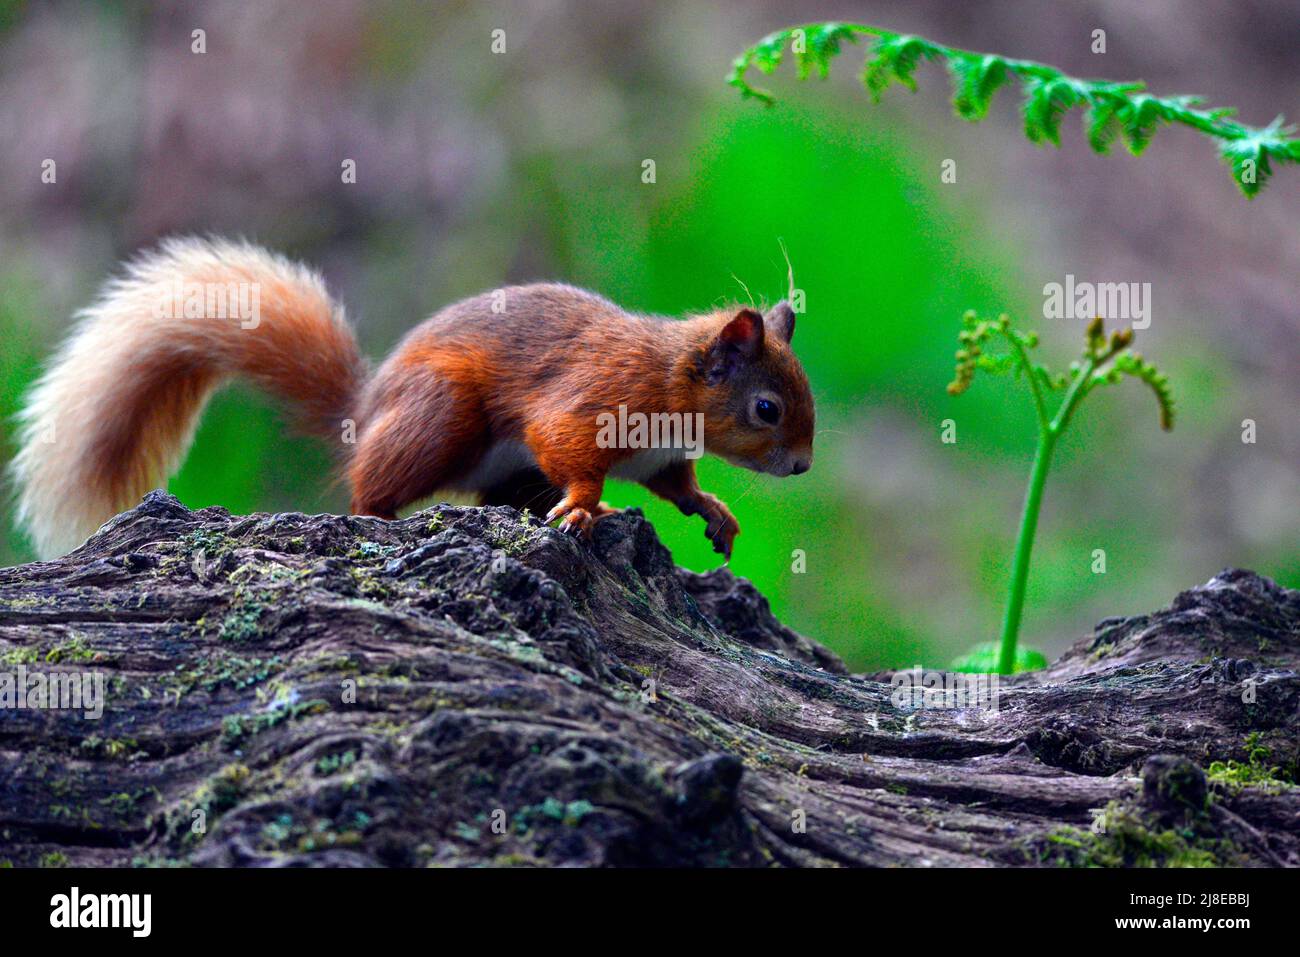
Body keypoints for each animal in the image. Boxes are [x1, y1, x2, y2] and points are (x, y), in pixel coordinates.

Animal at [10, 237, 815, 561]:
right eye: (767, 409)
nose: (804, 467)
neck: (670, 380)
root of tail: (363, 414)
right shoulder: (591, 399)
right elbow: (567, 446)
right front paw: (588, 504)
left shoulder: (658, 457)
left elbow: (679, 485)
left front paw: (714, 511)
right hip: (442, 415)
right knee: (370, 495)